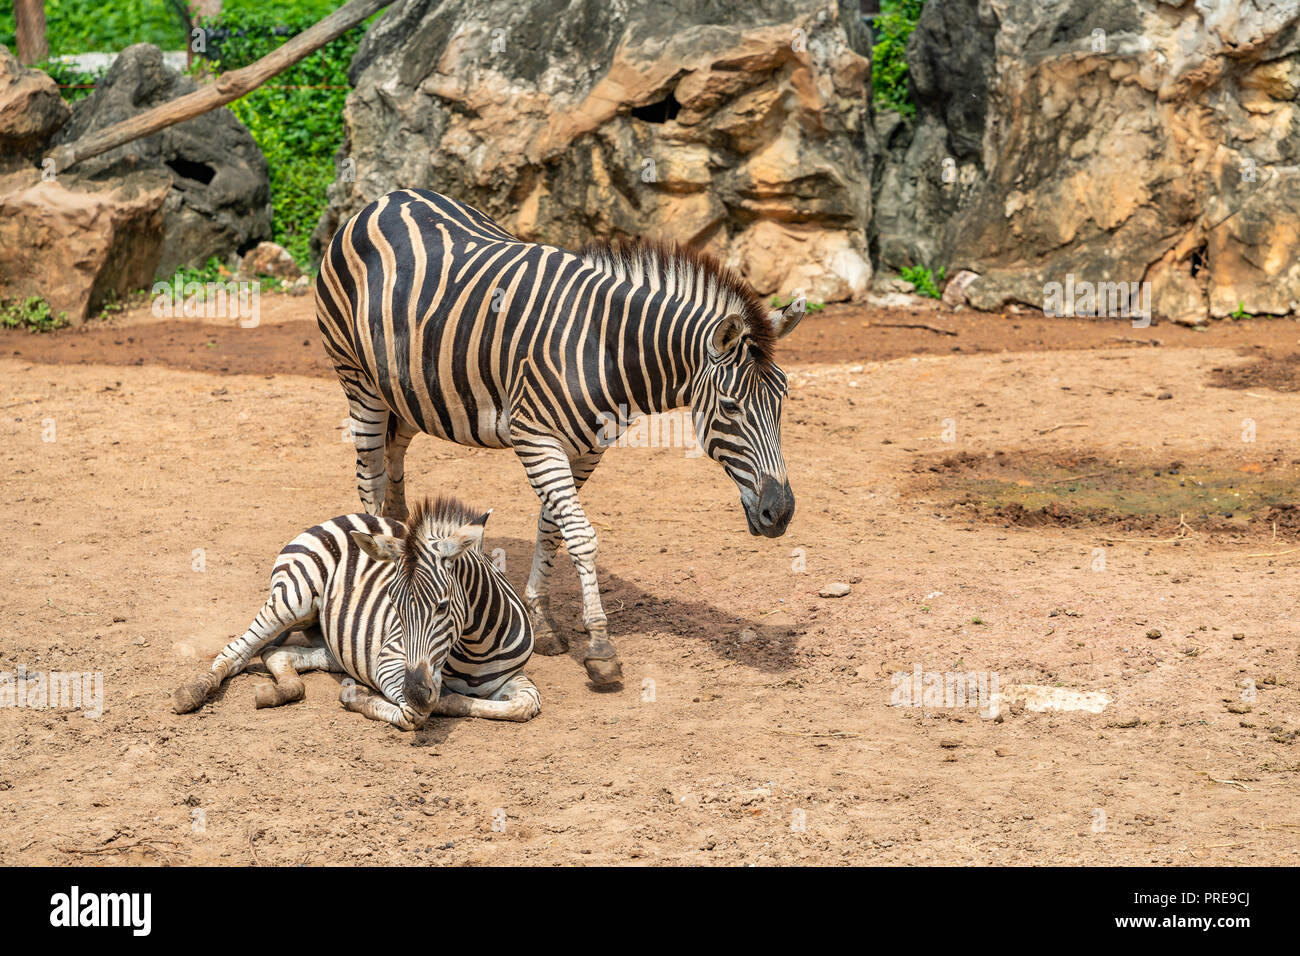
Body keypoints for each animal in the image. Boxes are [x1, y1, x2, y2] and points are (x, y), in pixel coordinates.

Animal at [172, 496, 540, 729]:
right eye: (394, 605)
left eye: (442, 605)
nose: (416, 691)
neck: (475, 648)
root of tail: (342, 516)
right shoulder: (388, 661)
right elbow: (417, 713)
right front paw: (357, 696)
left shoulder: (512, 678)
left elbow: (525, 705)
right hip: (292, 597)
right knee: (237, 652)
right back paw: (192, 692)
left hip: (338, 641)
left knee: (278, 653)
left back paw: (277, 689)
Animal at [315, 188, 804, 686]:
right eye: (731, 407)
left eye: (783, 398)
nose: (780, 513)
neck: (603, 349)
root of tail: (387, 198)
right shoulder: (536, 438)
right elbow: (581, 535)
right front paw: (600, 649)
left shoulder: (588, 448)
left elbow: (552, 529)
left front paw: (543, 620)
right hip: (358, 381)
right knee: (369, 478)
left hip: (413, 390)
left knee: (393, 460)